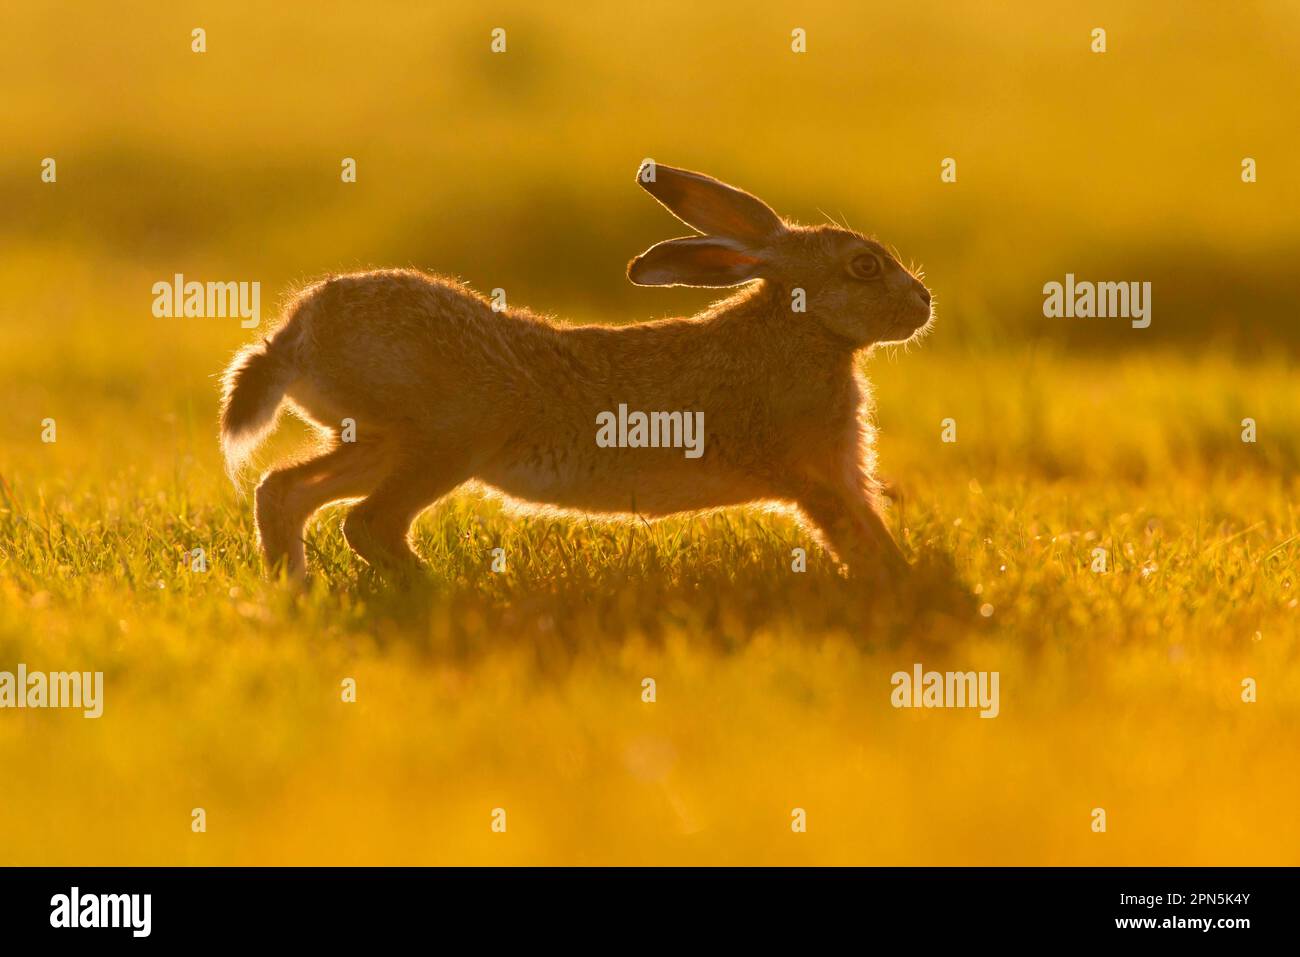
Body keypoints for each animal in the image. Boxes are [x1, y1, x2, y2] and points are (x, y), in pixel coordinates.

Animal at [219, 162, 934, 581]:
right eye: (863, 266)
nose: (923, 303)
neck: (803, 326)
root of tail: (298, 337)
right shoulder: (813, 474)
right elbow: (855, 536)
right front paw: (910, 591)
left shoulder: (838, 471)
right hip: (452, 438)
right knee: (367, 522)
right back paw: (437, 591)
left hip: (380, 441)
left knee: (284, 491)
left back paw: (293, 588)